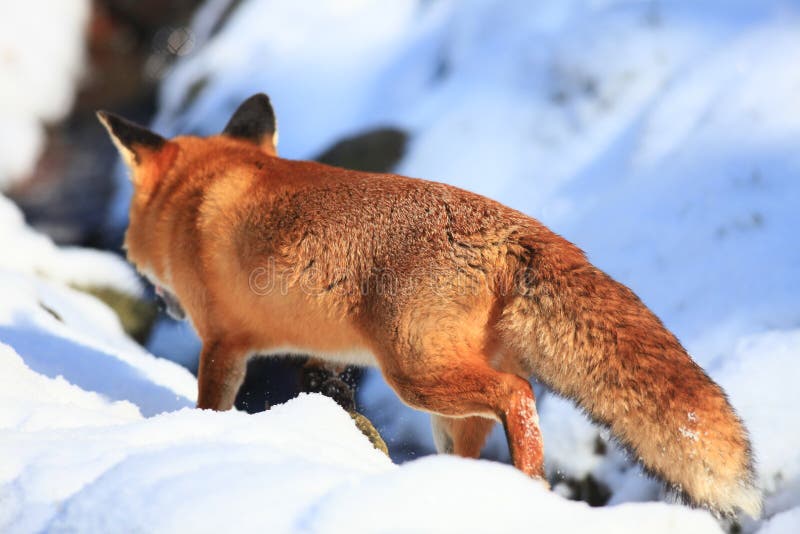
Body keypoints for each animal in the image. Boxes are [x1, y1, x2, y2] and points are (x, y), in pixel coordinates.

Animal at [98, 93, 761, 517]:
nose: (165, 306)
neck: (202, 190)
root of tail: (515, 227)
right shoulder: (321, 355)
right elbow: (328, 390)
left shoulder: (223, 344)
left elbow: (210, 406)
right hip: (447, 402)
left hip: (416, 375)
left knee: (518, 396)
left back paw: (526, 487)